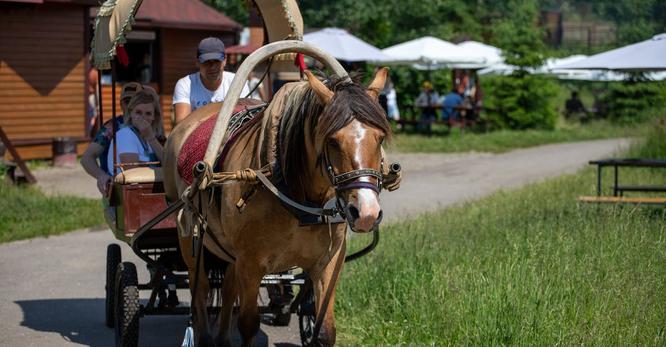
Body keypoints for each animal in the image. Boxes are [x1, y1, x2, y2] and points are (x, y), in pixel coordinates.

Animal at [165, 68, 390, 347]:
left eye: (380, 138)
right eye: (333, 141)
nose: (366, 213)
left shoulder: (328, 262)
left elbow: (325, 331)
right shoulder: (250, 265)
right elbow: (248, 325)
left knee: (227, 288)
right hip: (189, 236)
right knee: (201, 289)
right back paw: (205, 336)